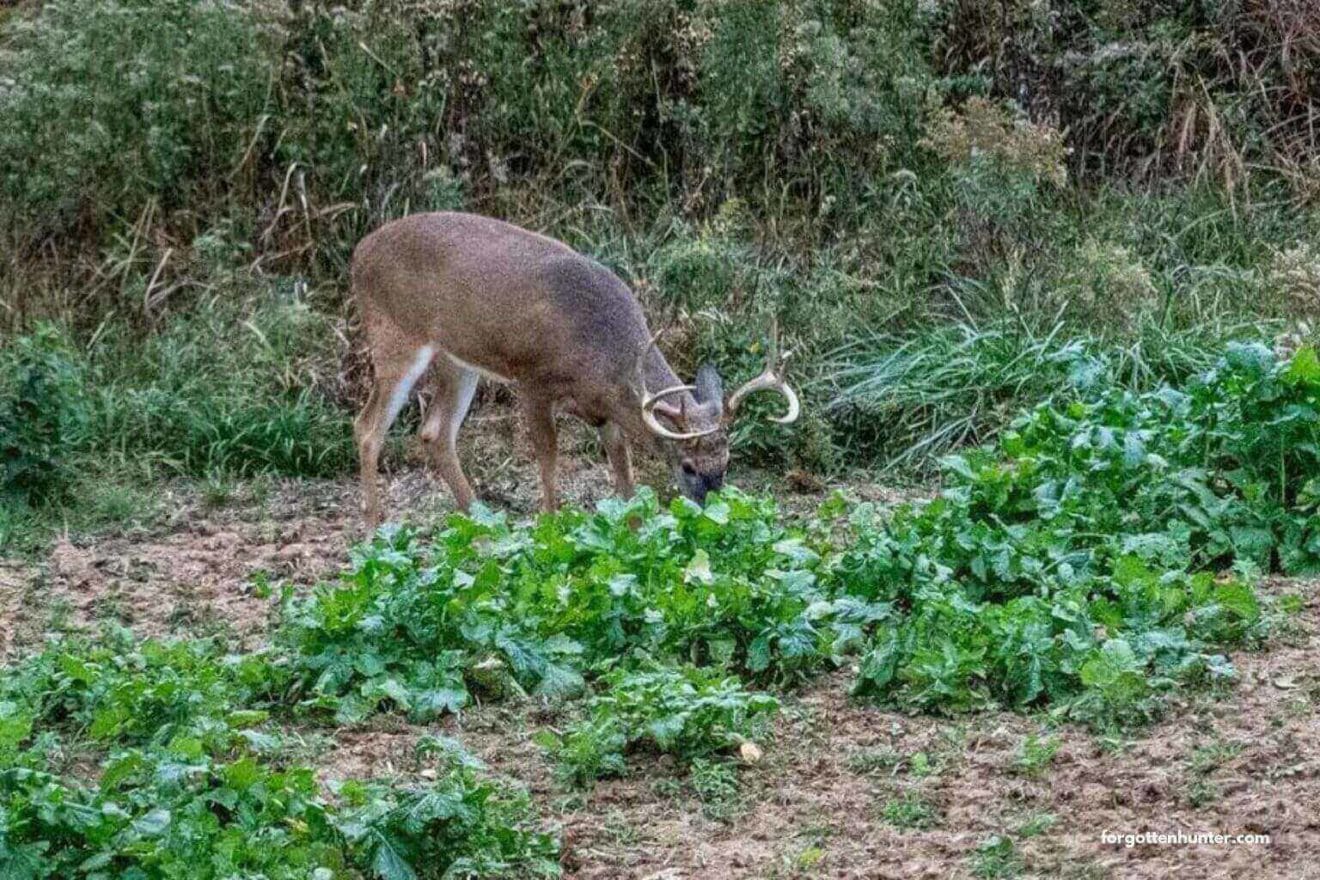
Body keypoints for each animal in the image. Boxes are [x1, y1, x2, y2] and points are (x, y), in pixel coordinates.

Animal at [350, 211, 799, 526]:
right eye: (687, 466)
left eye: (727, 463)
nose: (711, 513)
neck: (599, 350)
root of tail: (359, 252)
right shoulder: (532, 381)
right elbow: (549, 466)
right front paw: (550, 532)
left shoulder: (606, 409)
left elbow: (625, 476)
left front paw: (637, 536)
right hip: (395, 337)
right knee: (368, 427)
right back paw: (373, 537)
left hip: (457, 360)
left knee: (433, 432)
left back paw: (484, 530)